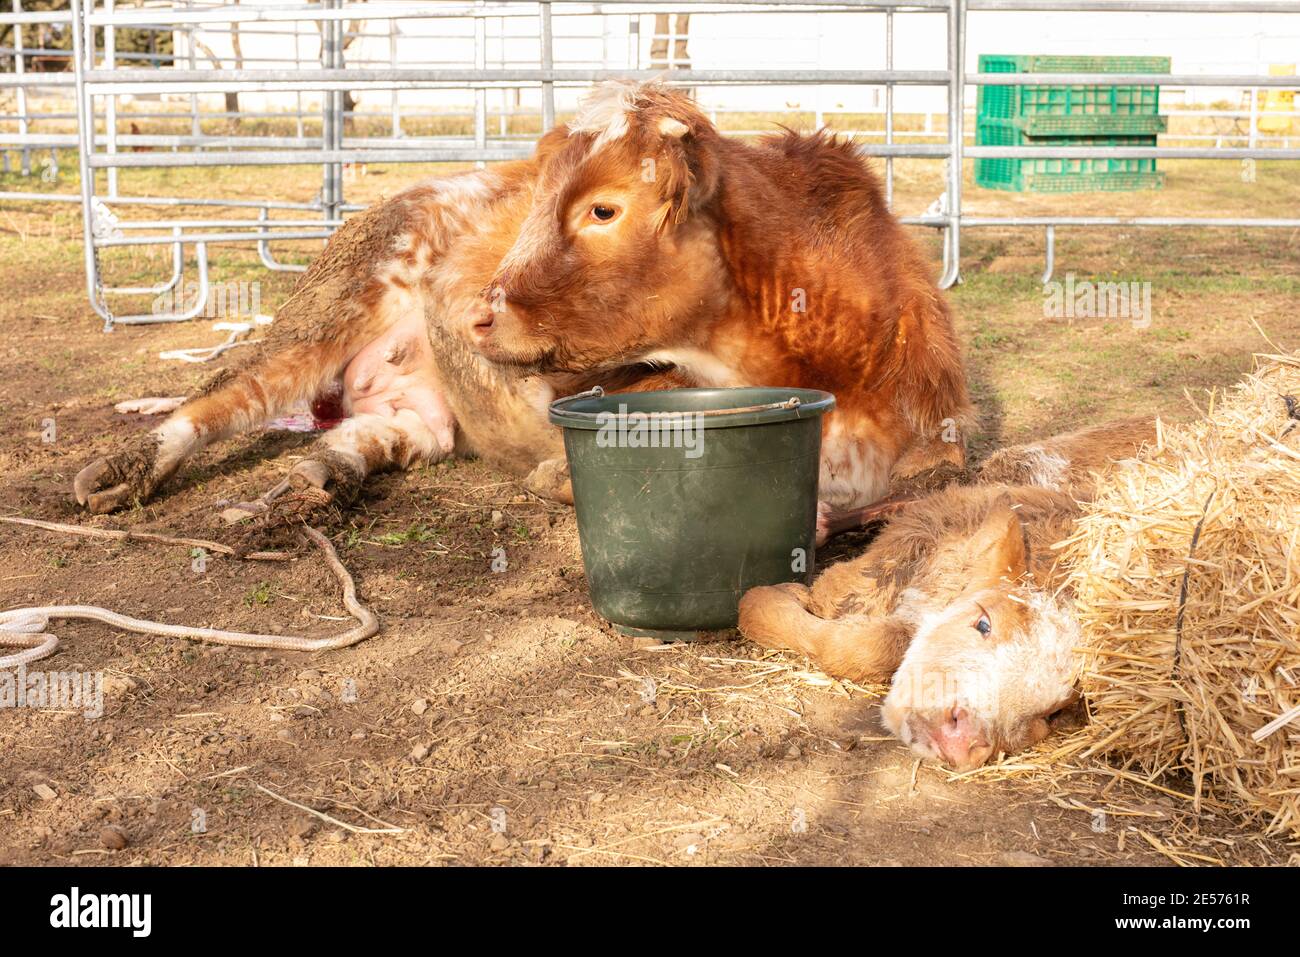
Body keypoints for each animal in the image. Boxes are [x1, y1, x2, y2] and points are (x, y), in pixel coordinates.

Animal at [74, 79, 970, 536]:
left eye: (604, 209)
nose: (476, 311)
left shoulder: (939, 441)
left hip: (418, 417)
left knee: (362, 439)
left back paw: (308, 483)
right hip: (338, 295)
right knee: (226, 390)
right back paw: (121, 470)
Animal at [737, 418, 1155, 771]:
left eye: (1050, 715)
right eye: (984, 623)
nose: (962, 737)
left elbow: (870, 645)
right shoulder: (911, 545)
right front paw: (763, 600)